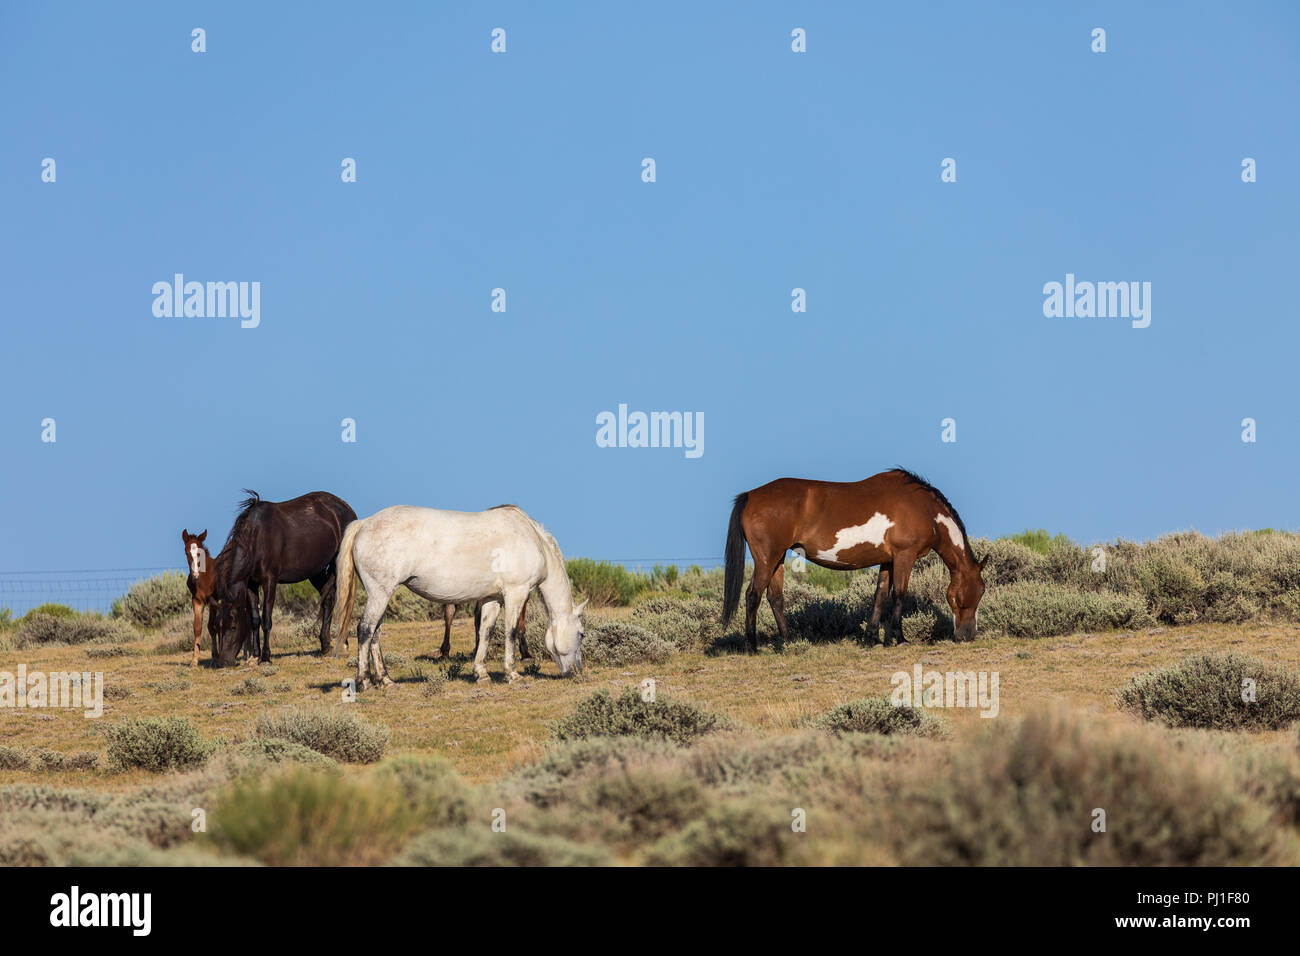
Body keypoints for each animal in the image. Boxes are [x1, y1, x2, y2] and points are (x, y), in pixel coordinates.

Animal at [181, 529, 260, 666]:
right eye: (186, 552)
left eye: (200, 553)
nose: (195, 575)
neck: (205, 576)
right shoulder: (197, 600)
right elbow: (198, 627)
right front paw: (194, 661)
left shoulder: (213, 599)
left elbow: (212, 626)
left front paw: (215, 657)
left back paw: (249, 655)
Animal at [213, 490, 357, 666]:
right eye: (217, 627)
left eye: (233, 626)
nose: (224, 661)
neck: (256, 537)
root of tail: (346, 507)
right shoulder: (251, 585)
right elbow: (255, 619)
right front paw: (255, 655)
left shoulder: (270, 581)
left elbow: (266, 620)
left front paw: (266, 657)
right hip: (314, 571)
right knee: (328, 599)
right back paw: (325, 645)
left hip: (338, 565)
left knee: (341, 599)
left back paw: (342, 645)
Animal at [331, 504, 586, 689]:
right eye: (582, 634)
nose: (578, 671)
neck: (533, 540)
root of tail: (364, 524)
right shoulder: (516, 593)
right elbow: (511, 632)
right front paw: (512, 674)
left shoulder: (492, 599)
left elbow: (485, 632)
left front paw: (481, 673)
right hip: (380, 593)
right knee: (365, 630)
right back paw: (364, 680)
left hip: (381, 594)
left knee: (375, 633)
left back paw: (385, 679)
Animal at [722, 468, 987, 651]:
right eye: (977, 591)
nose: (967, 635)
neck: (924, 510)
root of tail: (751, 496)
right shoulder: (905, 555)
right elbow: (900, 594)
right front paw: (899, 638)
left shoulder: (888, 560)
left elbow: (880, 594)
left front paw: (873, 638)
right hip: (767, 559)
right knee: (753, 595)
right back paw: (752, 647)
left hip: (777, 559)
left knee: (775, 598)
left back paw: (789, 642)